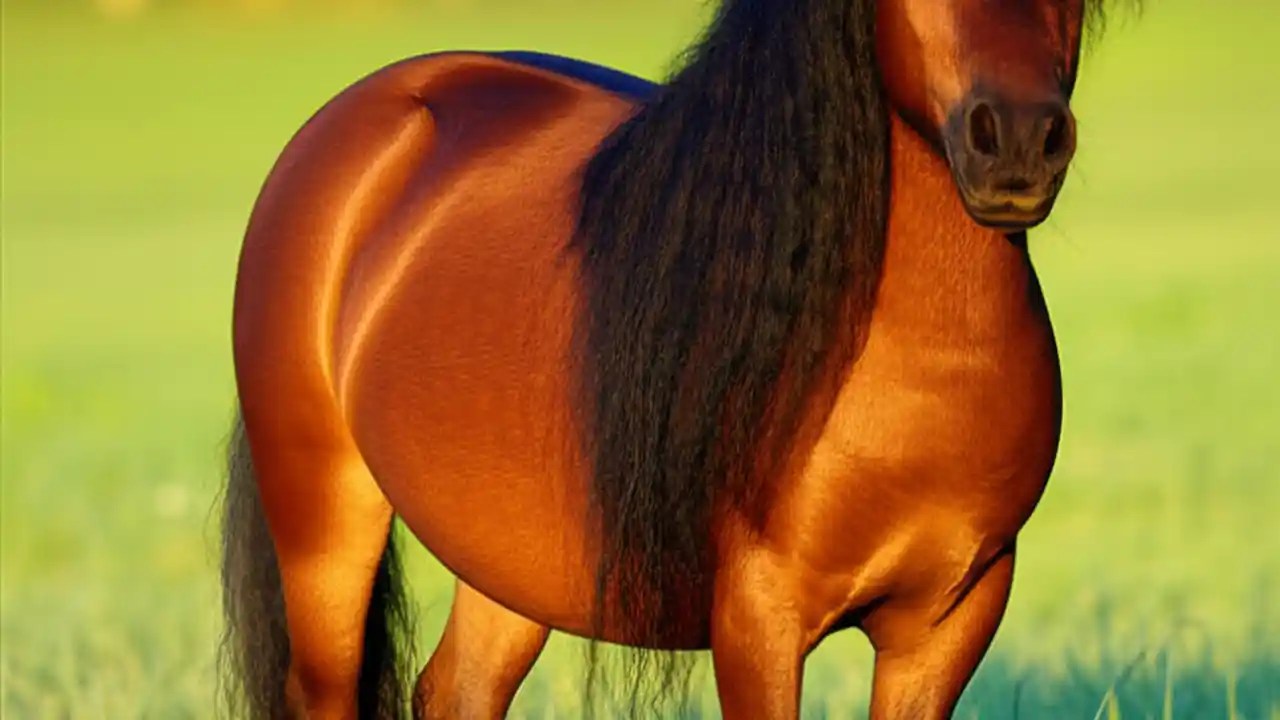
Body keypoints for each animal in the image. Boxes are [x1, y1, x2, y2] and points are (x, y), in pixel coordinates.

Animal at [219, 0, 1127, 717]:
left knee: (459, 690)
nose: (1017, 140)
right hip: (324, 520)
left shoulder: (947, 622)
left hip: (502, 563)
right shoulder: (759, 618)